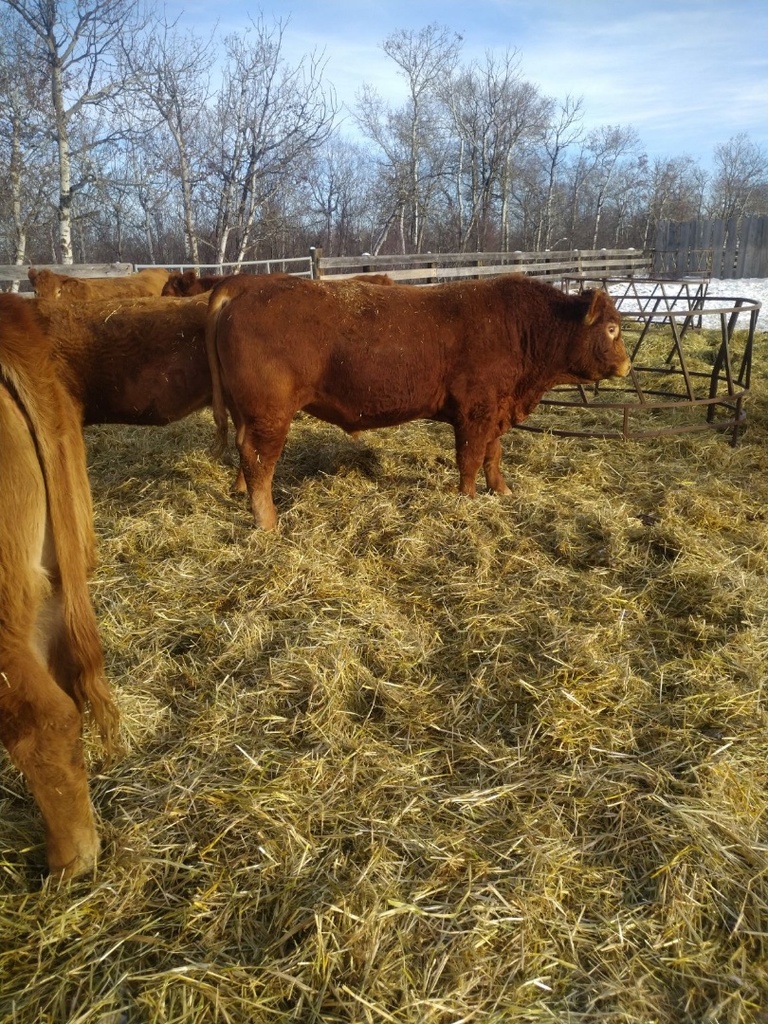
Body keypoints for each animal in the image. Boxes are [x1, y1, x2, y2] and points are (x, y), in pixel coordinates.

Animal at [205, 273, 631, 530]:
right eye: (612, 328)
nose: (627, 363)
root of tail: (247, 284)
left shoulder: (495, 410)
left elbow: (493, 455)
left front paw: (502, 491)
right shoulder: (475, 411)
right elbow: (470, 458)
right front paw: (467, 500)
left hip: (248, 411)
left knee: (244, 451)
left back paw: (241, 493)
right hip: (270, 413)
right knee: (259, 458)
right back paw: (268, 521)